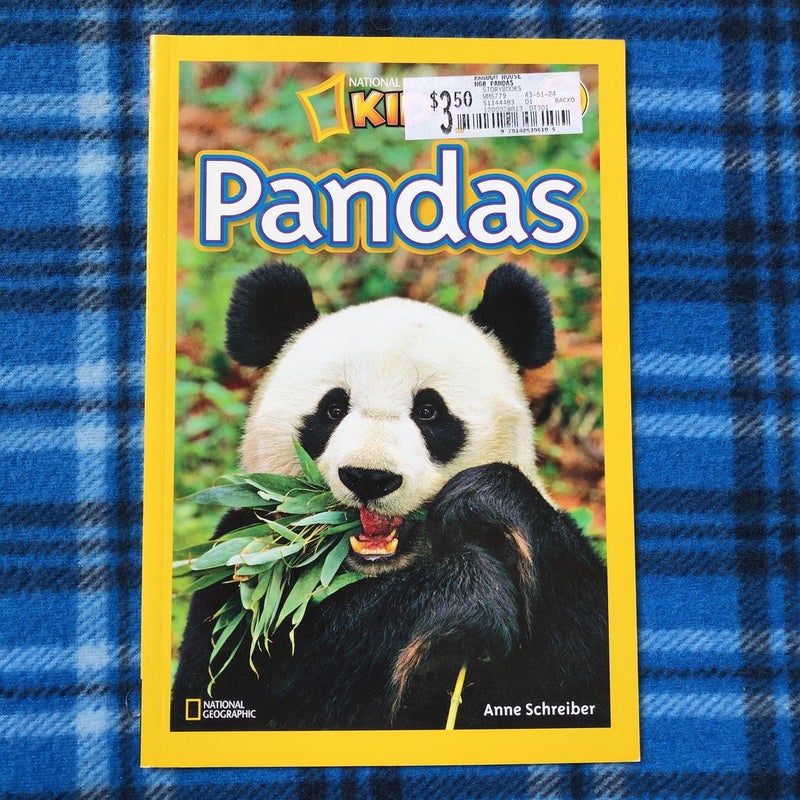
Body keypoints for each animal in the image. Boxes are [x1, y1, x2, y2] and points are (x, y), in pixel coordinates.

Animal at [170, 261, 609, 731]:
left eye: (429, 411)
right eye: (333, 409)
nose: (369, 477)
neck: (381, 571)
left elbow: (581, 668)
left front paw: (485, 500)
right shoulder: (244, 569)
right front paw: (468, 591)